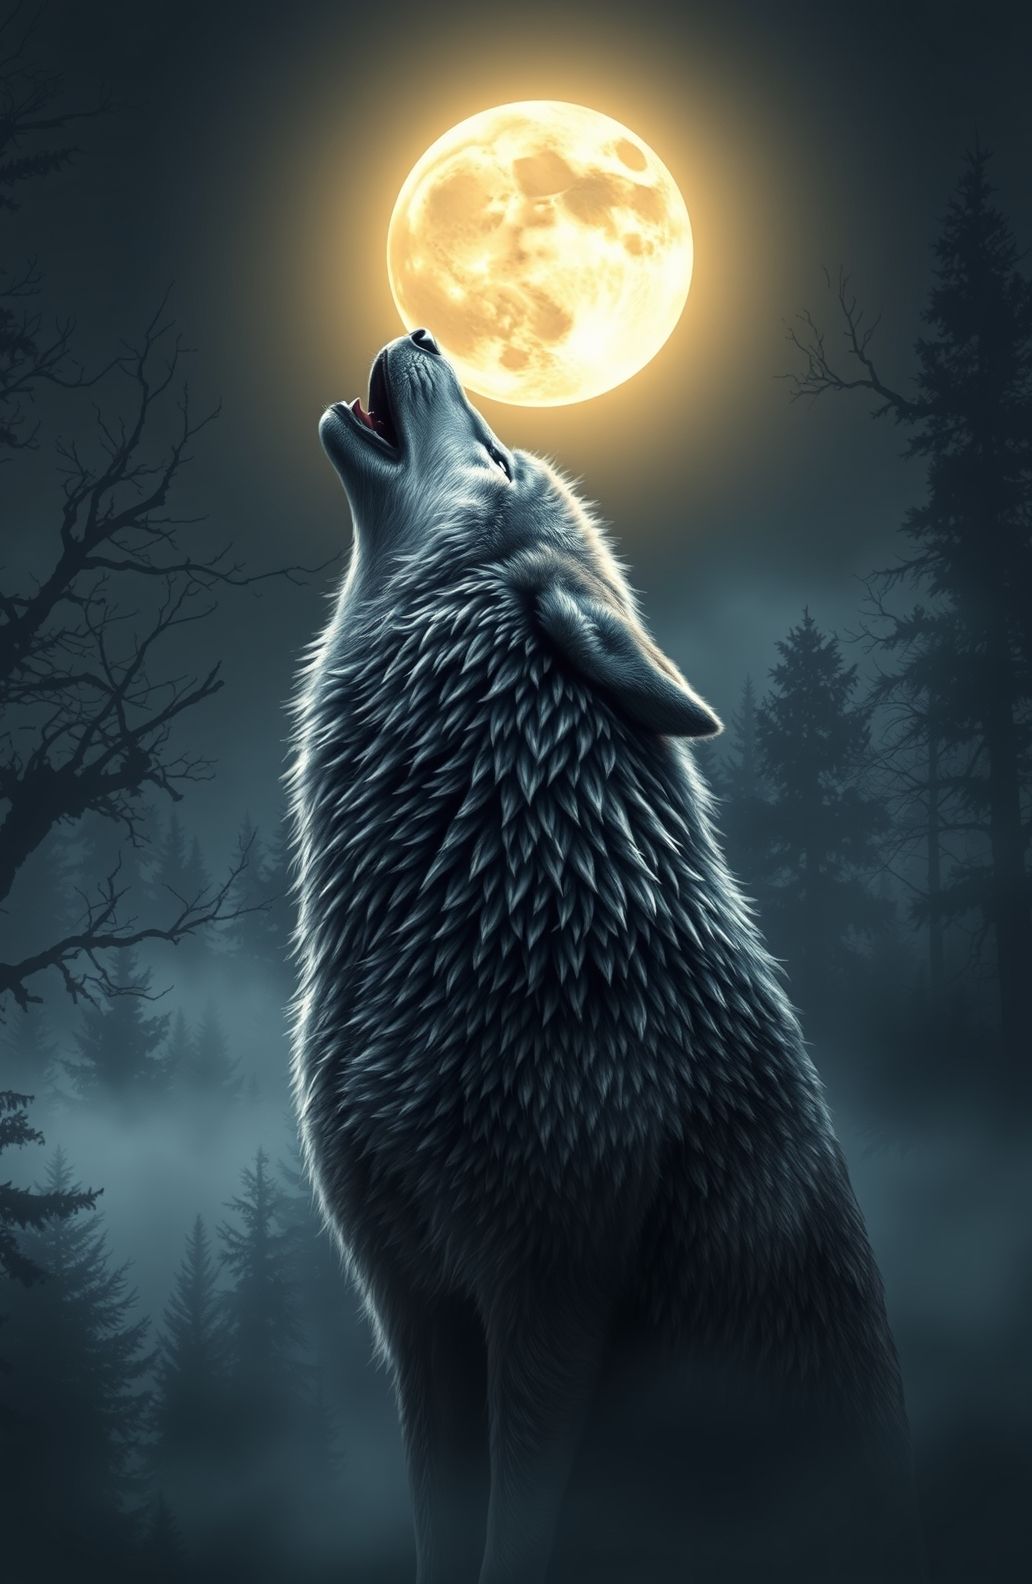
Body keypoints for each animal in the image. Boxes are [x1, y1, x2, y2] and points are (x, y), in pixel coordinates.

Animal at [287, 328, 923, 1583]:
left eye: (497, 460)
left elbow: (516, 1532)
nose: (426, 332)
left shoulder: (548, 1298)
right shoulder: (416, 1307)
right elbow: (444, 1528)